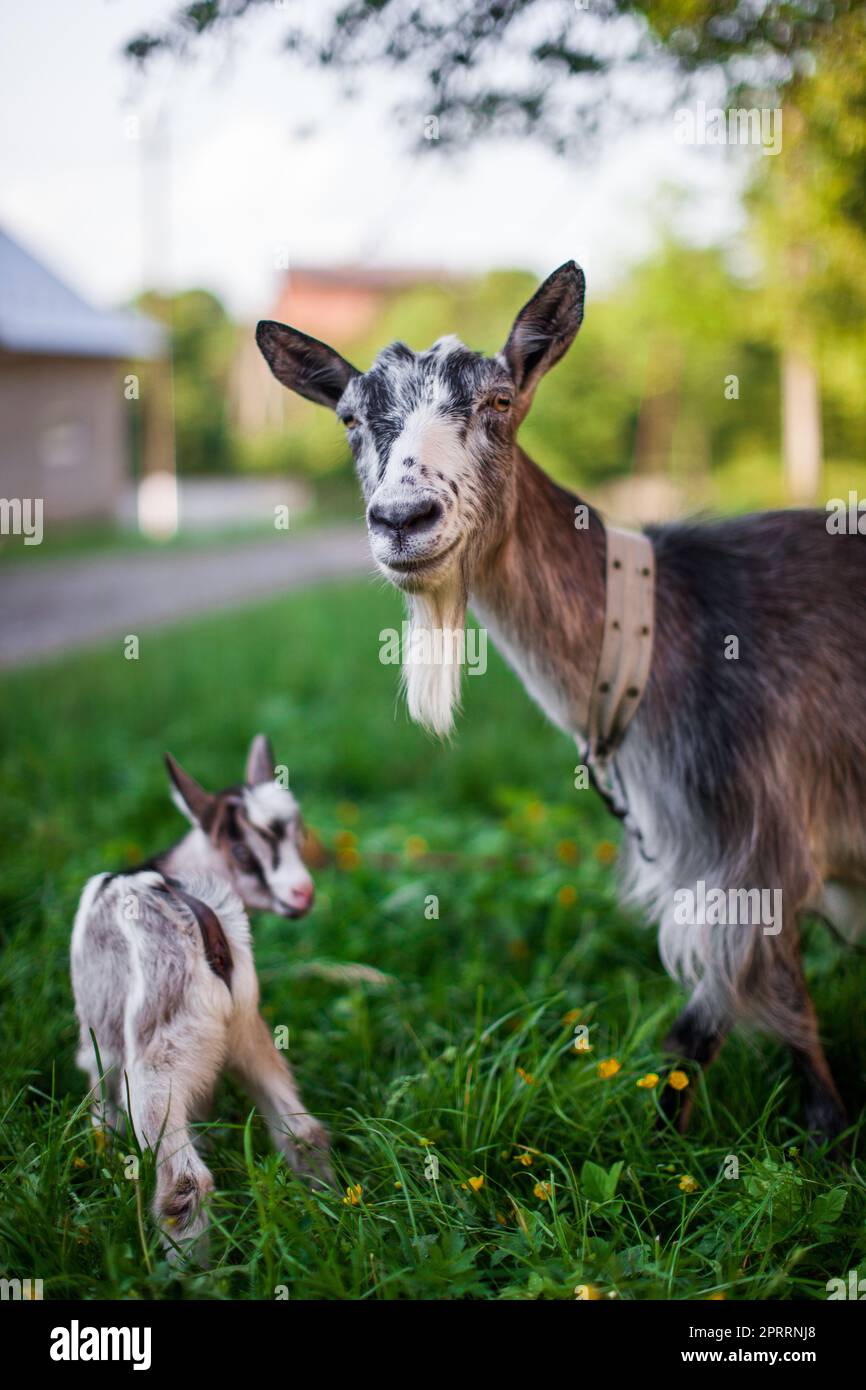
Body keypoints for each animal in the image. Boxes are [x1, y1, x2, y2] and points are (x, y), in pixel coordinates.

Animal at [71, 734, 332, 1255]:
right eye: (243, 851)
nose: (302, 894)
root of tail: (204, 924)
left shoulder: (99, 1043)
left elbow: (100, 1105)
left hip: (155, 1061)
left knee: (183, 1184)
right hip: (247, 1032)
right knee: (303, 1130)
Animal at [256, 265, 866, 1141]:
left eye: (499, 401)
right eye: (348, 418)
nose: (404, 518)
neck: (654, 634)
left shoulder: (760, 841)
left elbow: (716, 1023)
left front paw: (813, 1136)